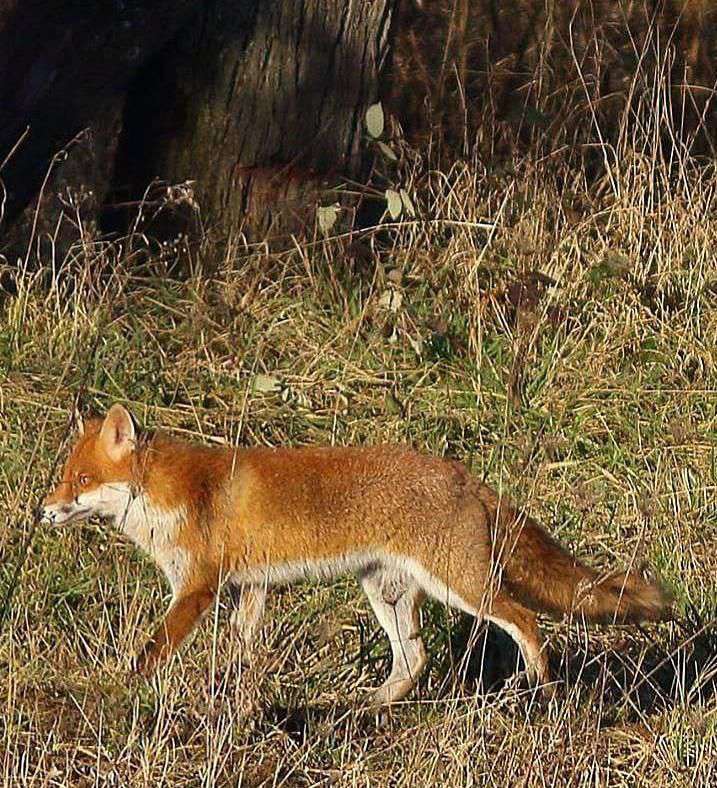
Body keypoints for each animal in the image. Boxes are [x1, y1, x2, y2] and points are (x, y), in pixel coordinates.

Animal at [41, 403, 671, 706]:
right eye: (62, 478)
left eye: (81, 480)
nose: (42, 512)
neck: (171, 495)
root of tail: (463, 475)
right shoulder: (251, 588)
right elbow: (242, 659)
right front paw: (234, 703)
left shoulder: (197, 588)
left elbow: (150, 652)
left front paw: (120, 690)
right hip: (385, 590)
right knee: (414, 661)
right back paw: (368, 707)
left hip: (461, 585)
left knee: (526, 622)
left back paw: (541, 693)